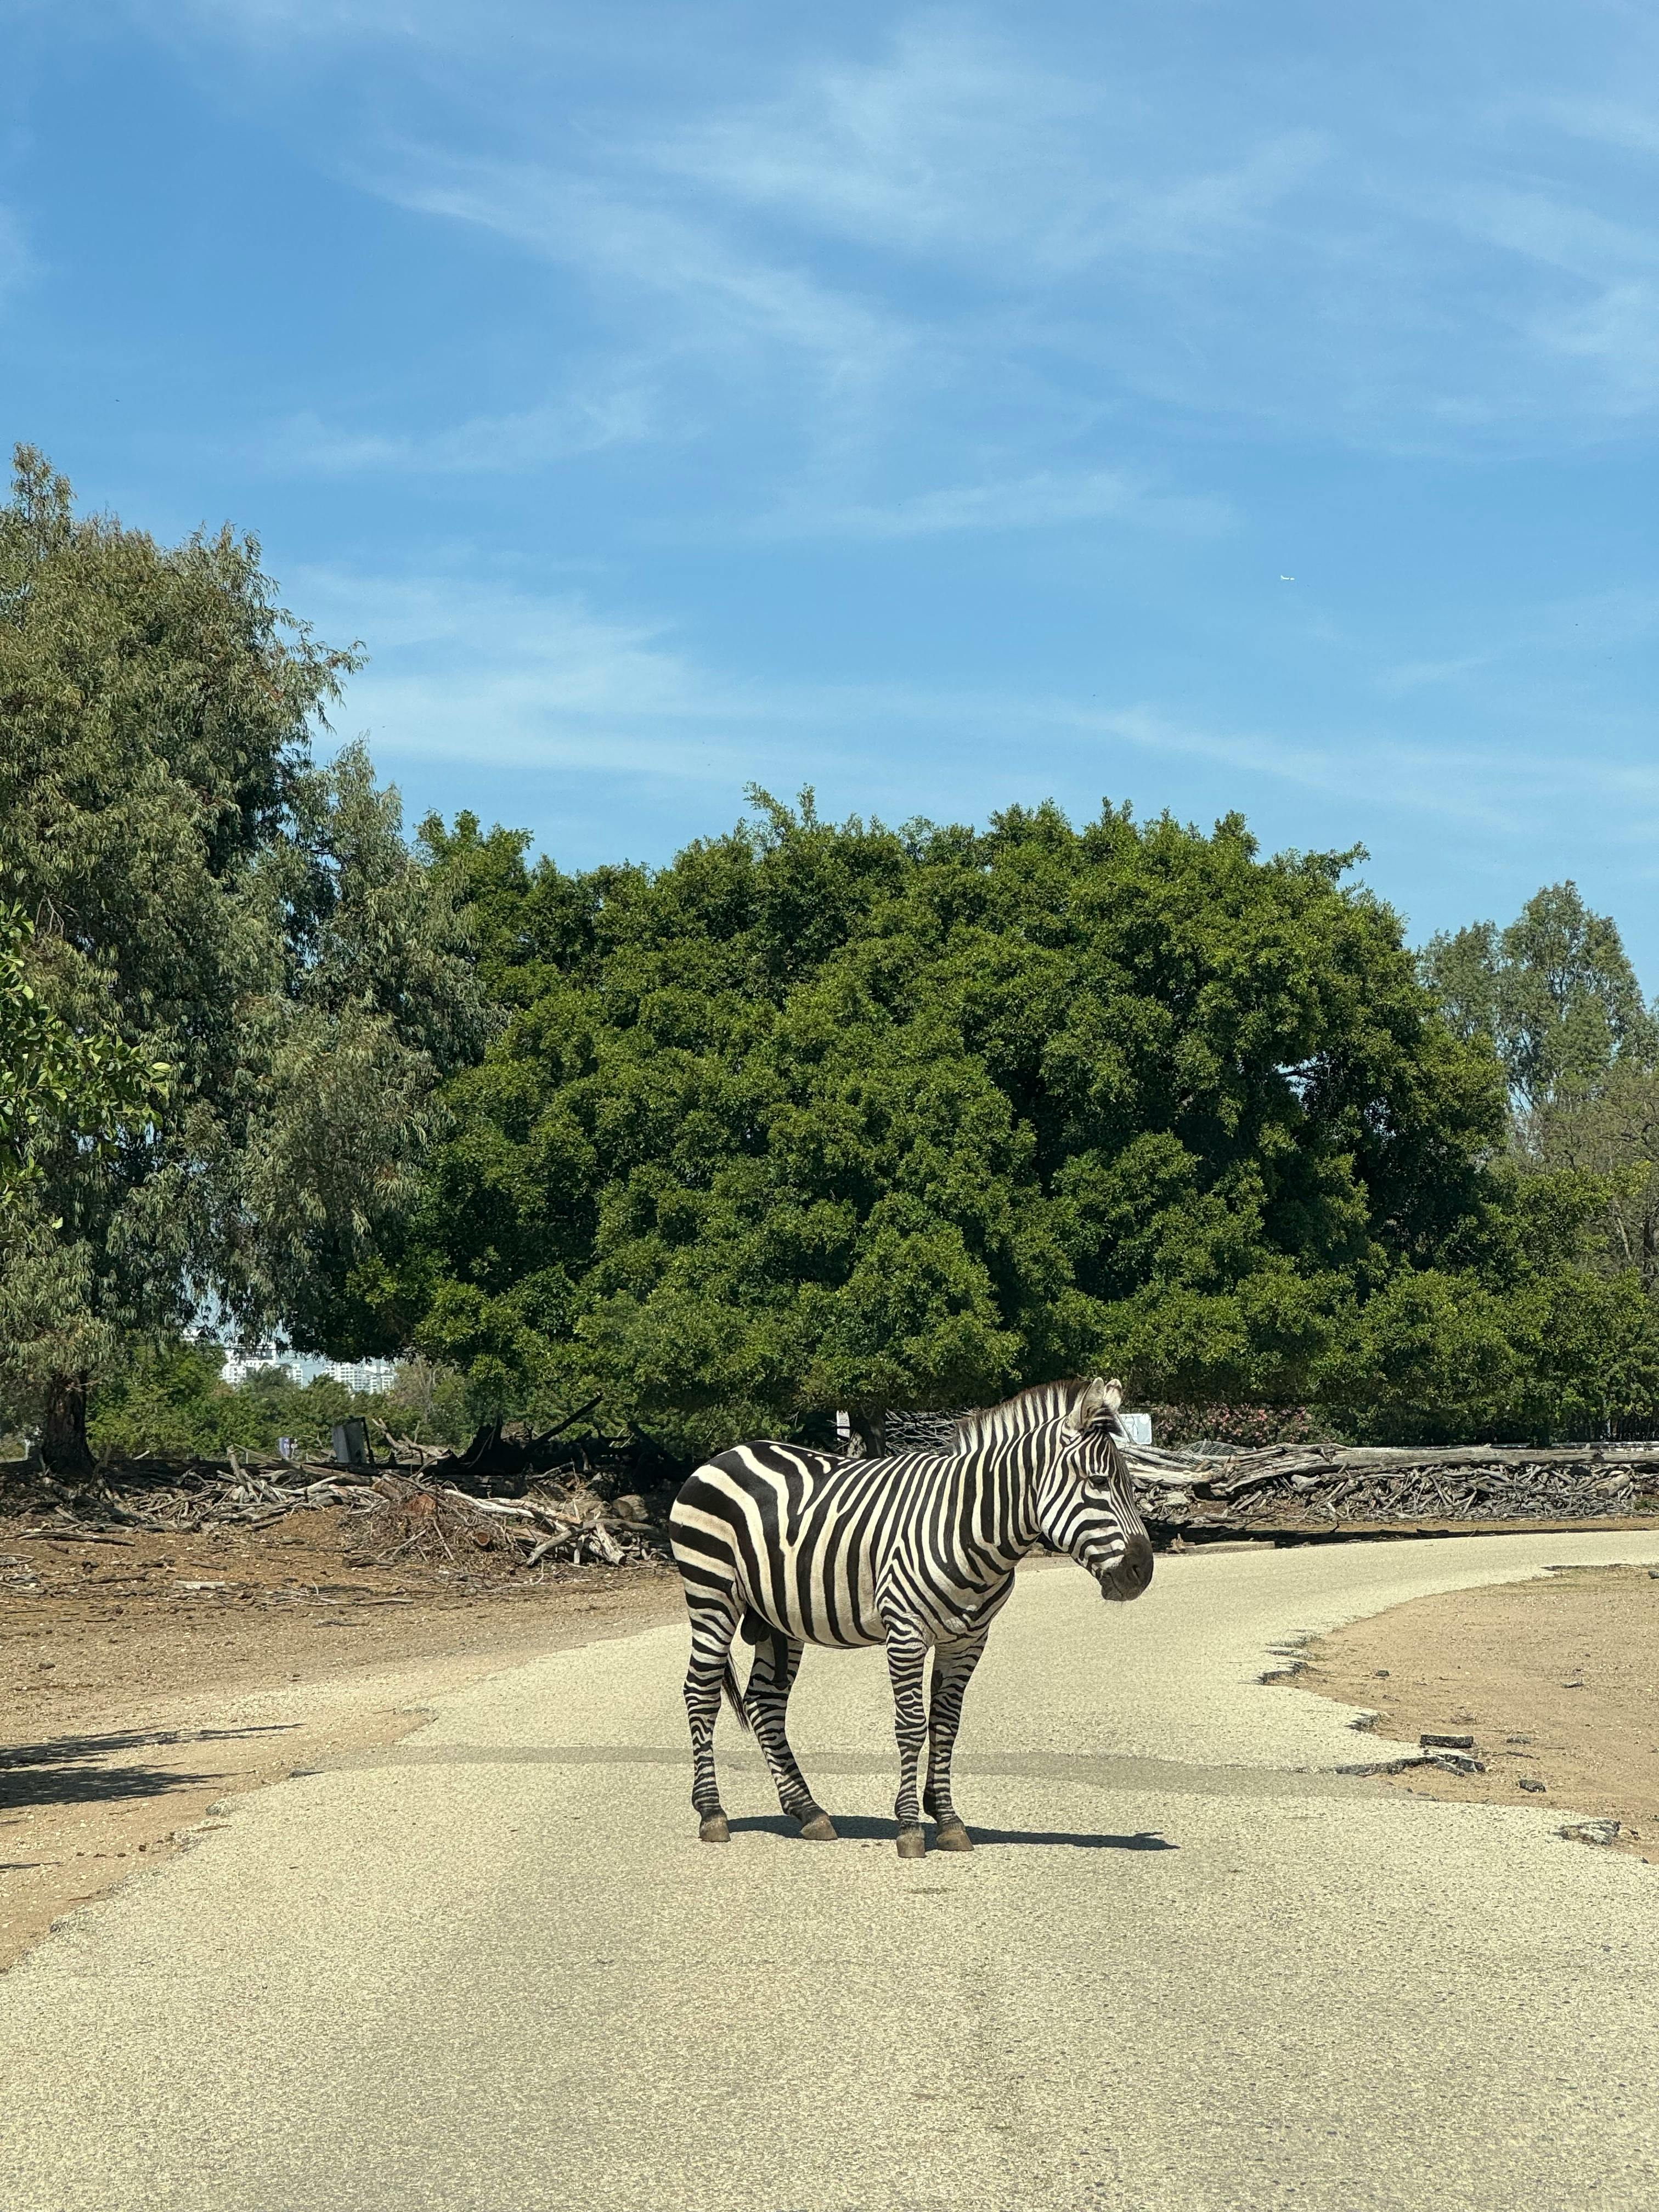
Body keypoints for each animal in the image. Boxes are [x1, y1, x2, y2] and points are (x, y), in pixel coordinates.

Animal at [668, 1375, 1153, 1859]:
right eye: (1098, 1481)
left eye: (1131, 1485)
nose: (1142, 1572)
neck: (967, 1525)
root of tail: (726, 1454)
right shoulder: (906, 1631)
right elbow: (911, 1725)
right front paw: (910, 1826)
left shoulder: (968, 1640)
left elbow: (946, 1724)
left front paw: (948, 1819)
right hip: (712, 1594)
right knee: (701, 1693)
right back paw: (712, 1813)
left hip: (776, 1617)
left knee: (765, 1701)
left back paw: (809, 1812)